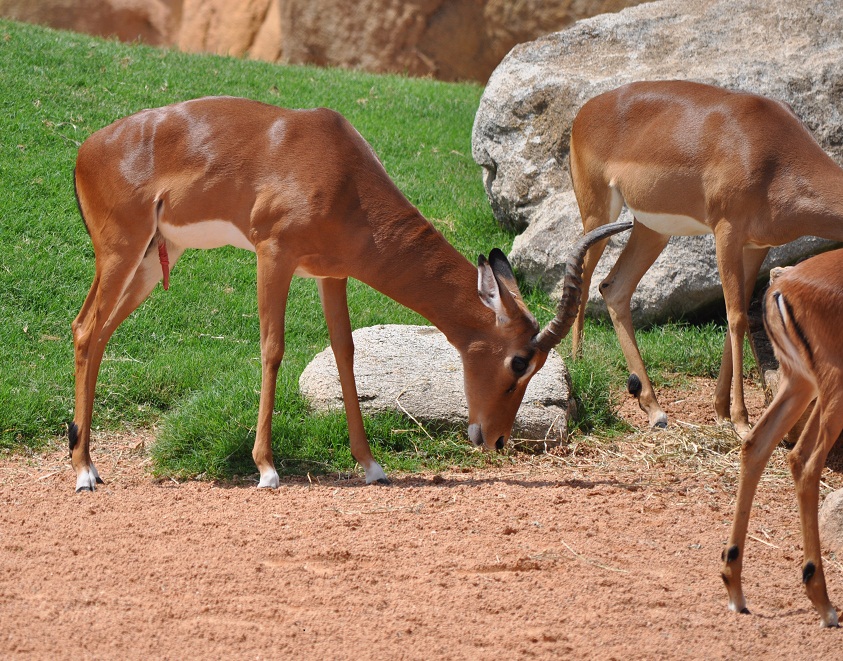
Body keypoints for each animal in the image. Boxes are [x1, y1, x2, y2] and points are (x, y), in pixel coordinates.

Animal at [69, 95, 632, 492]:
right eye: (519, 361)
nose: (494, 438)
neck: (340, 173)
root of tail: (86, 150)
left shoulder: (331, 274)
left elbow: (346, 353)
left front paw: (371, 465)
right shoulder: (273, 255)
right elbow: (272, 349)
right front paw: (267, 469)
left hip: (148, 262)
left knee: (92, 333)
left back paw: (86, 459)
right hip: (122, 253)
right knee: (86, 330)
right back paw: (83, 473)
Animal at [568, 80, 843, 436]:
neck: (773, 155)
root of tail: (584, 112)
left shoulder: (755, 246)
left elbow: (736, 315)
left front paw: (722, 411)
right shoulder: (727, 232)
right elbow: (737, 318)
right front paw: (741, 420)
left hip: (652, 229)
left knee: (614, 288)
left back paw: (653, 408)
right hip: (599, 214)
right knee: (585, 276)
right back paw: (577, 362)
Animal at [721, 248, 842, 627]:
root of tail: (782, 287)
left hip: (801, 383)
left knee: (756, 444)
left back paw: (735, 588)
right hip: (831, 389)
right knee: (804, 461)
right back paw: (824, 603)